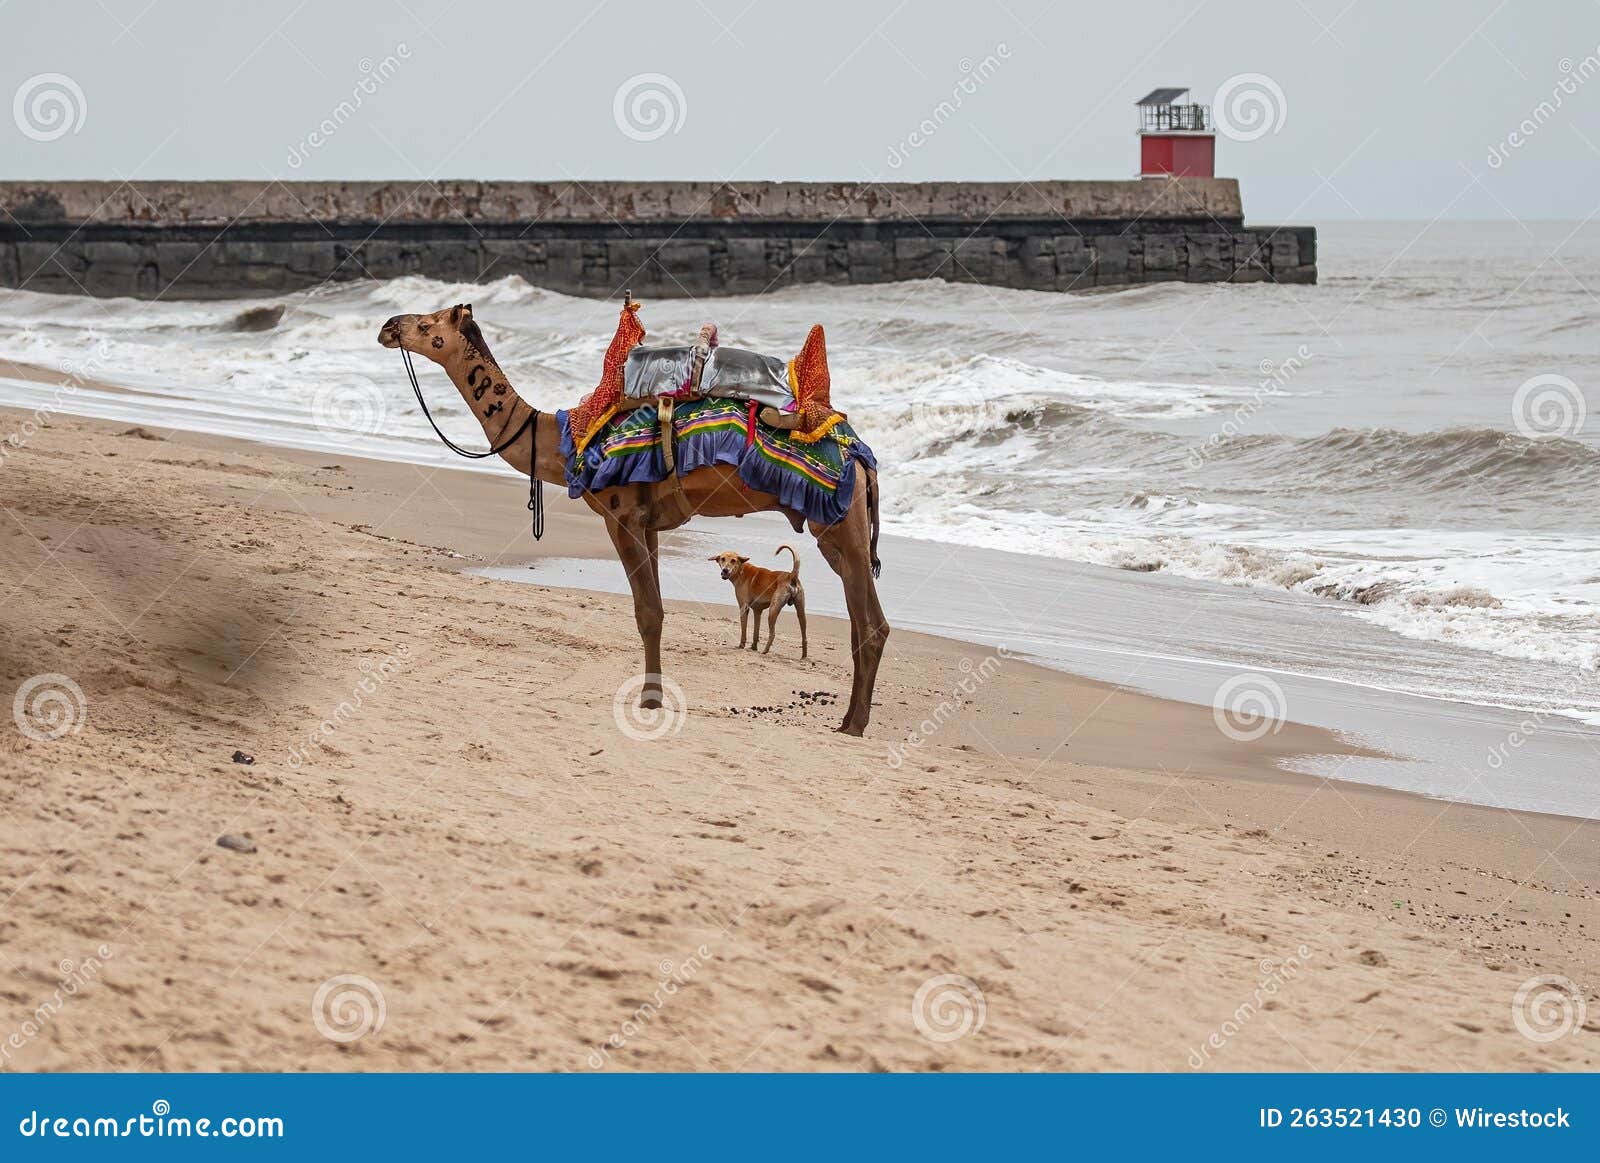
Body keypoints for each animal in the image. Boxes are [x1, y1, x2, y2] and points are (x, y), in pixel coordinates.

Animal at [376, 303, 890, 735]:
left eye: (427, 323)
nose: (388, 326)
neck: (567, 440)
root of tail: (862, 459)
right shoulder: (650, 523)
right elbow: (655, 609)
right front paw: (654, 696)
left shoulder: (621, 515)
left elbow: (648, 613)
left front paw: (648, 700)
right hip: (839, 532)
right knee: (864, 619)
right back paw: (850, 718)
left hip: (840, 523)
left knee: (870, 624)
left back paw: (854, 725)